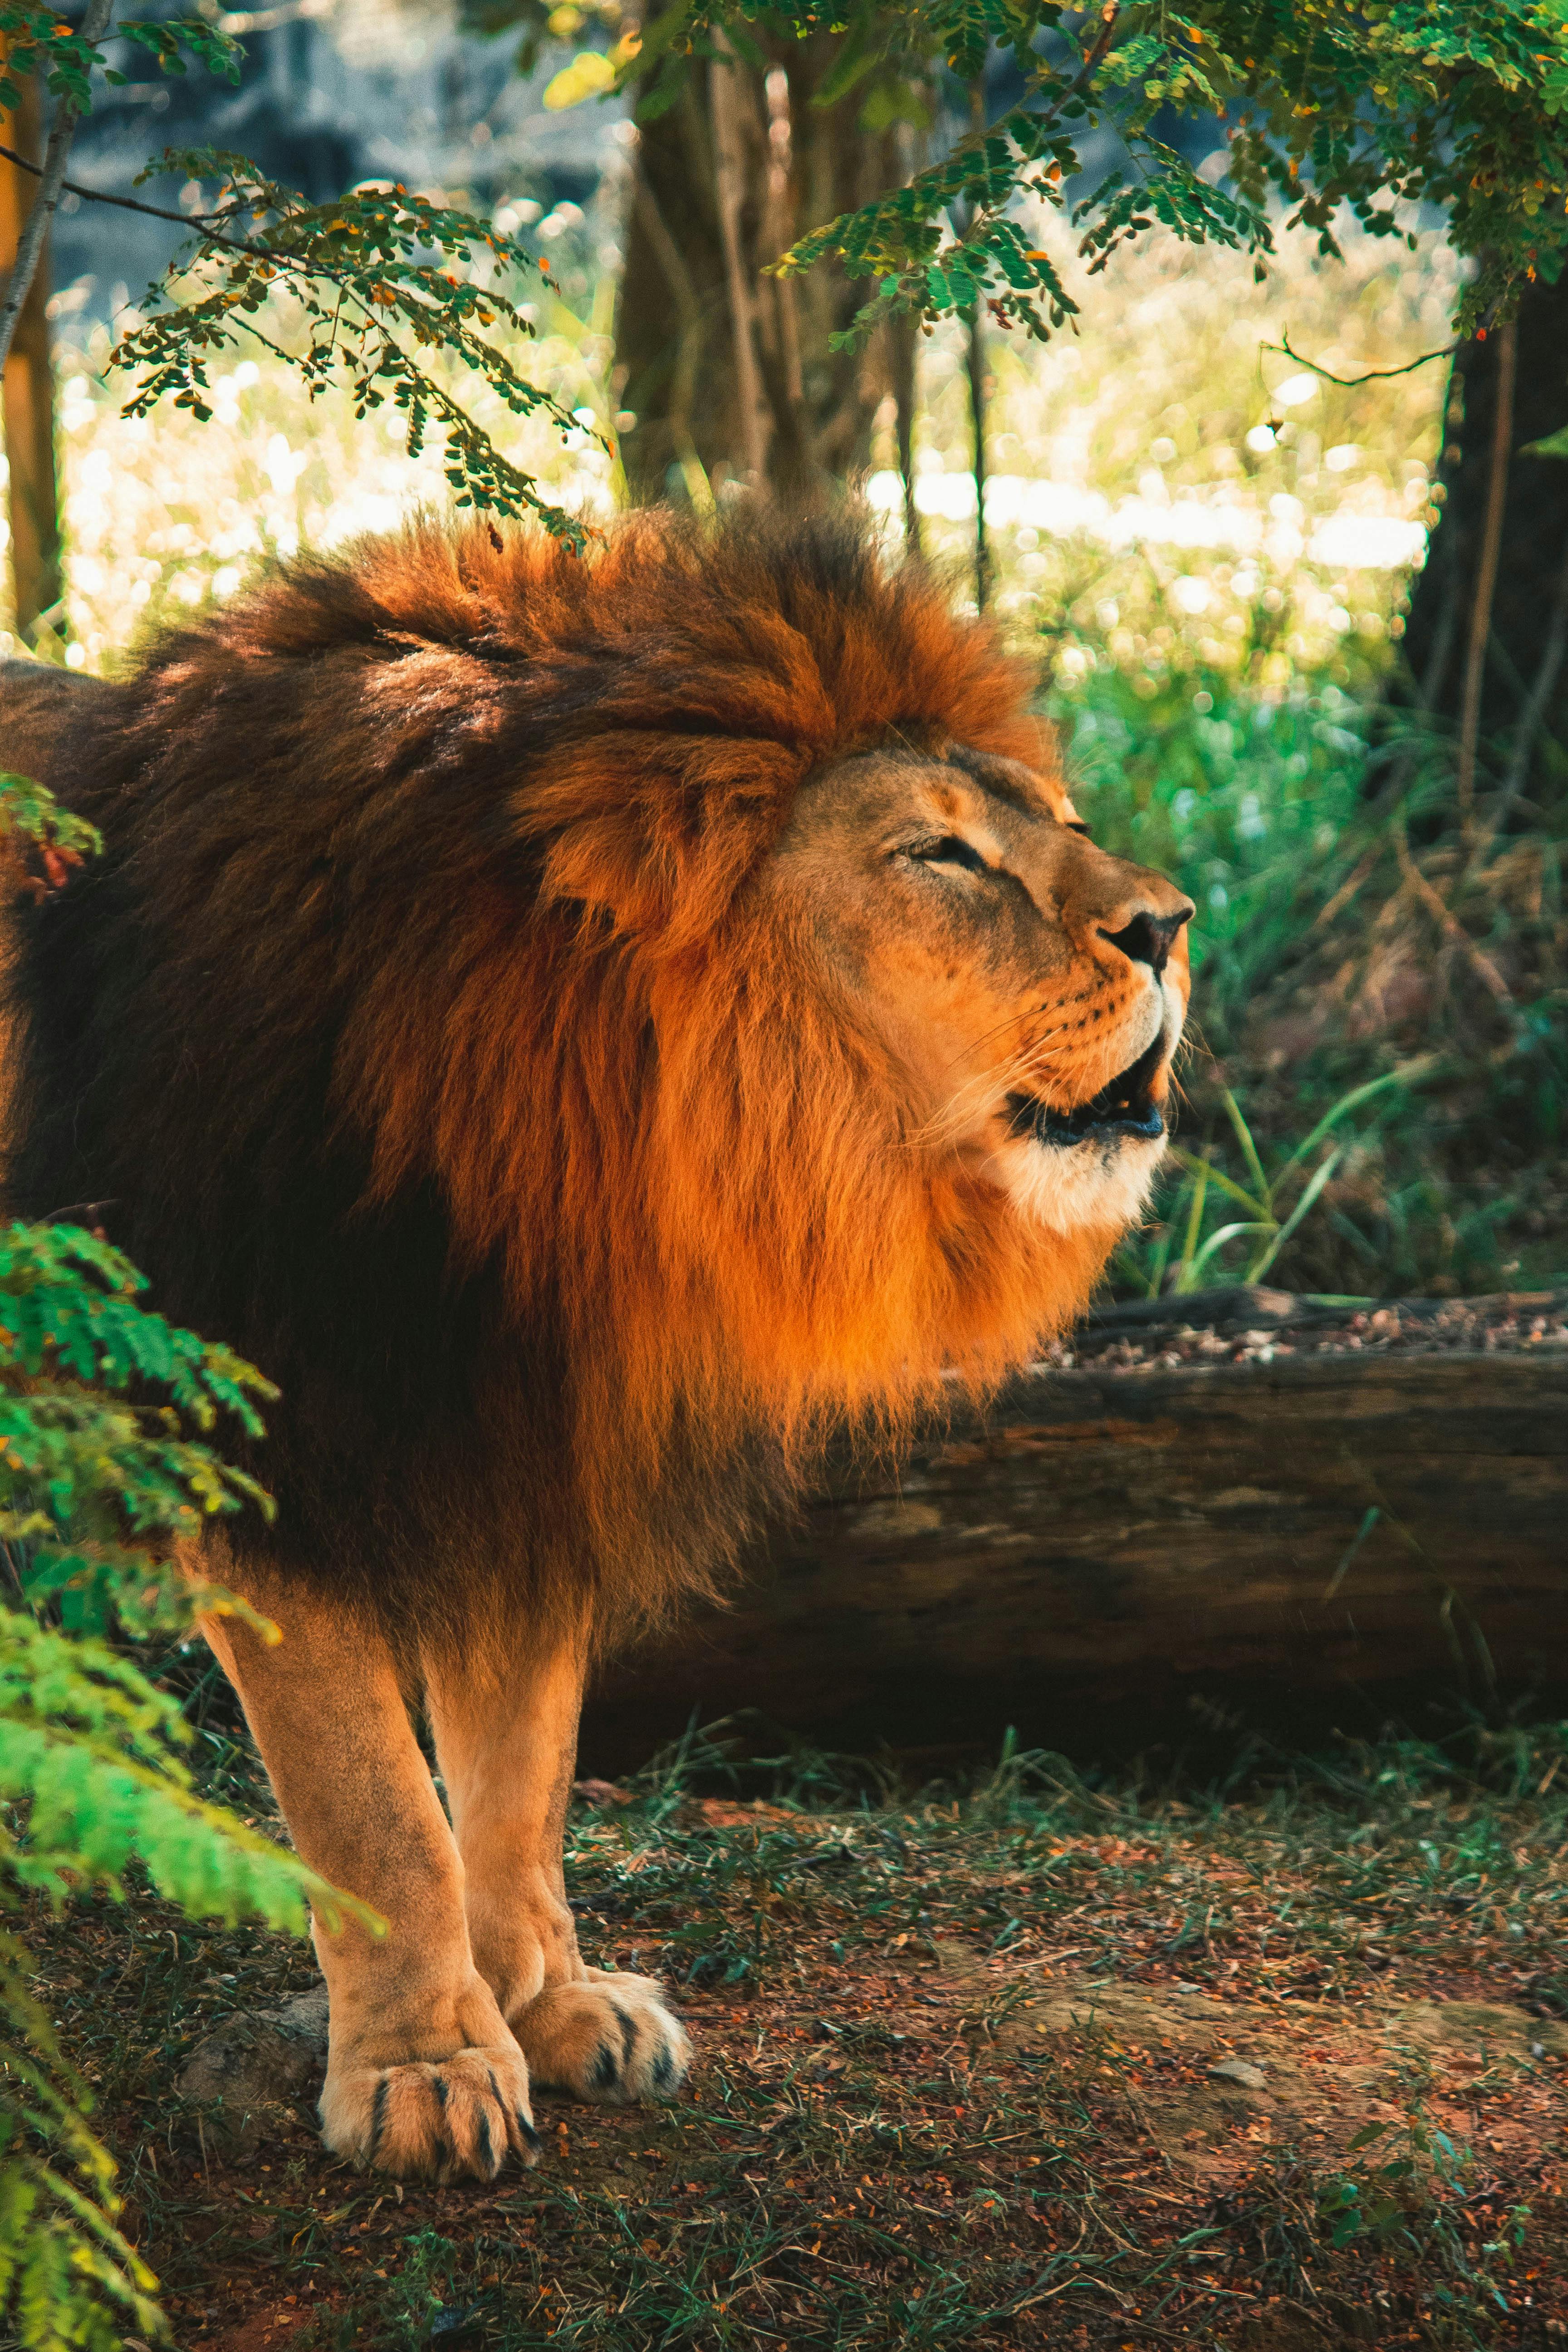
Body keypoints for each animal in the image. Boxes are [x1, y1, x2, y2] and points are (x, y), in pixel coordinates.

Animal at [0, 507, 1191, 2180]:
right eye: (942, 854)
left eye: (1065, 823)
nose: (1172, 926)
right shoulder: (282, 1436)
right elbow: (376, 1807)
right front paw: (427, 2068)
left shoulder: (530, 1439)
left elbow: (519, 1775)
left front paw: (548, 2005)